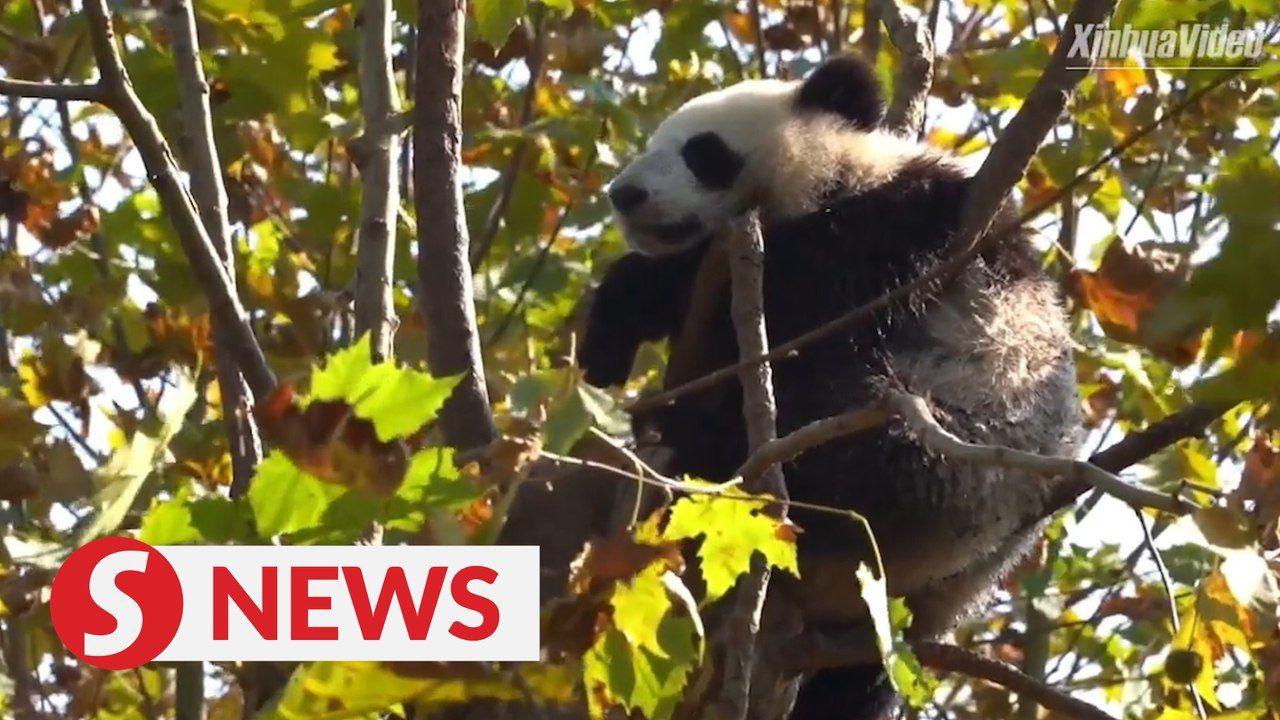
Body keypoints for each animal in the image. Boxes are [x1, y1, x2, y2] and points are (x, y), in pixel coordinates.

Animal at [577, 56, 1081, 719]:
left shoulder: (898, 230)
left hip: (949, 450)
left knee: (842, 447)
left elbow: (804, 298)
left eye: (704, 151)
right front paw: (610, 333)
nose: (624, 194)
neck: (847, 171)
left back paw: (691, 442)